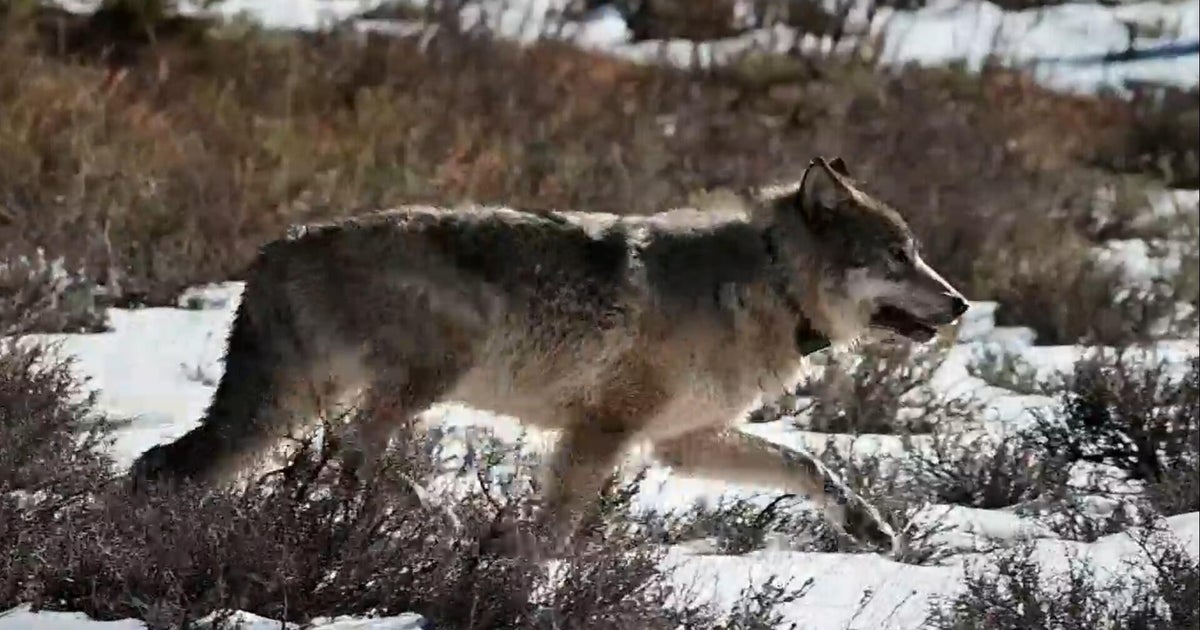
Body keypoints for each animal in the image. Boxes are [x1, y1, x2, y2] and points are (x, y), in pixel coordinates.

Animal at [130, 156, 968, 554]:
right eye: (898, 257)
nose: (960, 303)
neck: (770, 281)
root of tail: (278, 245)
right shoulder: (604, 431)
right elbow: (558, 527)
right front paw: (526, 578)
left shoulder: (683, 442)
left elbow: (809, 464)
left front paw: (867, 525)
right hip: (424, 372)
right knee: (354, 452)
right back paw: (431, 513)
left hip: (293, 405)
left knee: (182, 461)